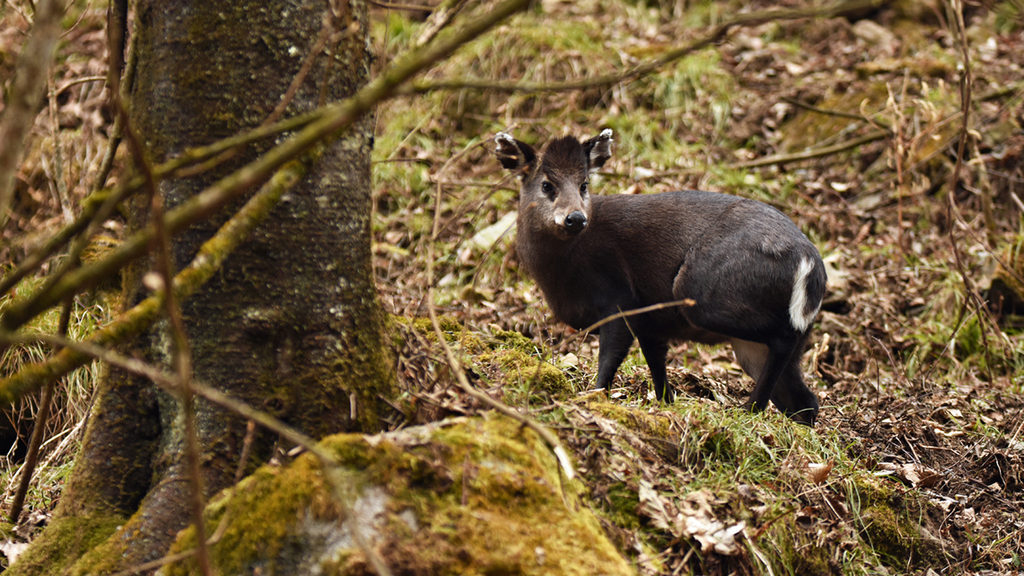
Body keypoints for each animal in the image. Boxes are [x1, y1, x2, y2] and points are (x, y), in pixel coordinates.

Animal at [494, 129, 827, 425]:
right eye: (547, 185)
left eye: (584, 184)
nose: (576, 218)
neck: (559, 280)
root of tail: (811, 261)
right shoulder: (652, 322)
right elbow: (659, 374)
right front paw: (664, 406)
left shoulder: (620, 298)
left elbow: (610, 359)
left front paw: (593, 399)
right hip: (755, 343)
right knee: (805, 400)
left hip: (702, 294)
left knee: (783, 340)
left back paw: (749, 409)